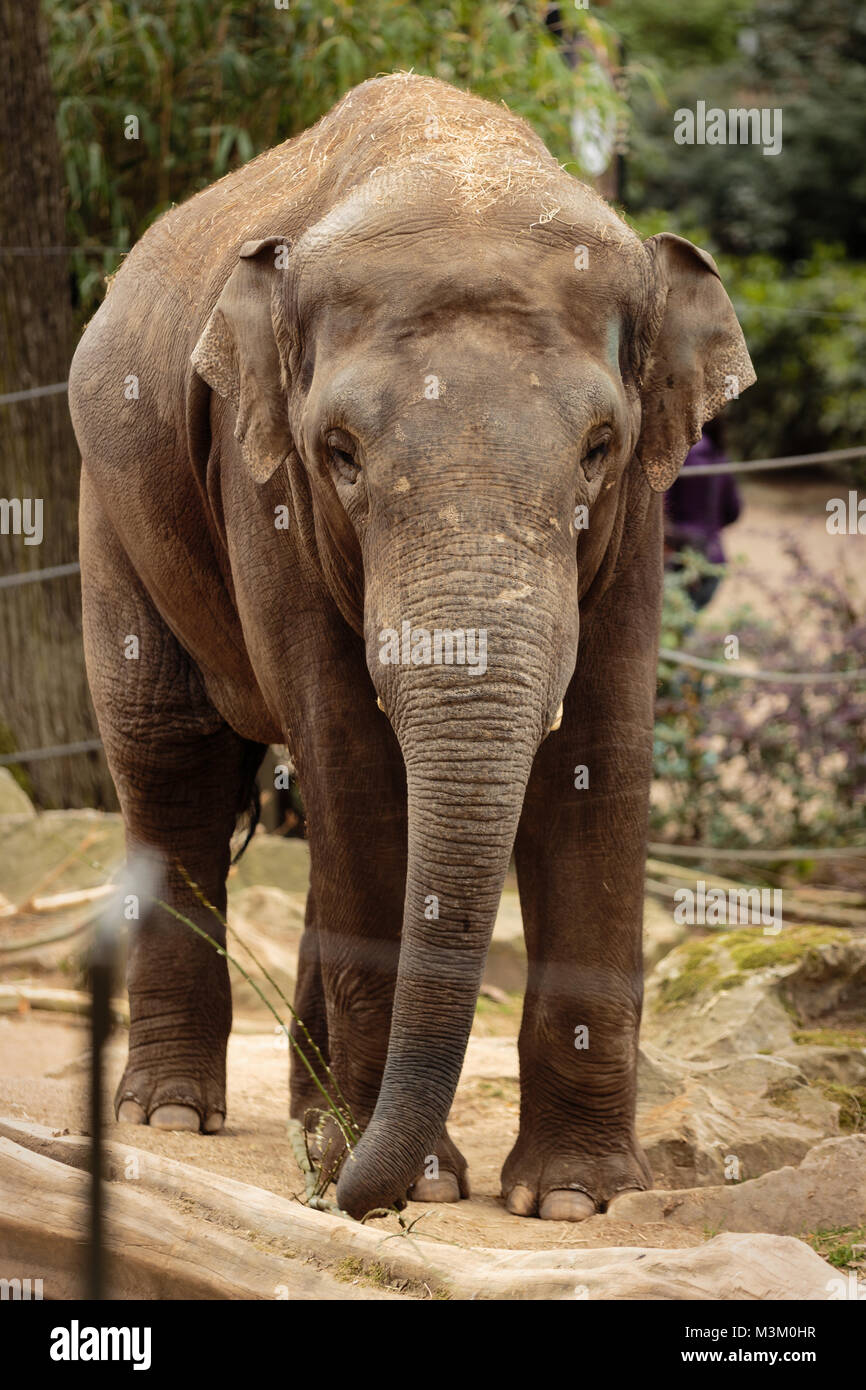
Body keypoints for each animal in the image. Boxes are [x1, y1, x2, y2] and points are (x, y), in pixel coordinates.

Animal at [68, 72, 754, 1221]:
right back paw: (177, 1116)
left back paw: (308, 1124)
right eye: (339, 453)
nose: (346, 1194)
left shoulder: (643, 513)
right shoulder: (268, 489)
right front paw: (423, 1184)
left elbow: (599, 753)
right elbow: (351, 759)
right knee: (172, 761)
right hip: (109, 507)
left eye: (598, 448)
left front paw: (573, 1198)